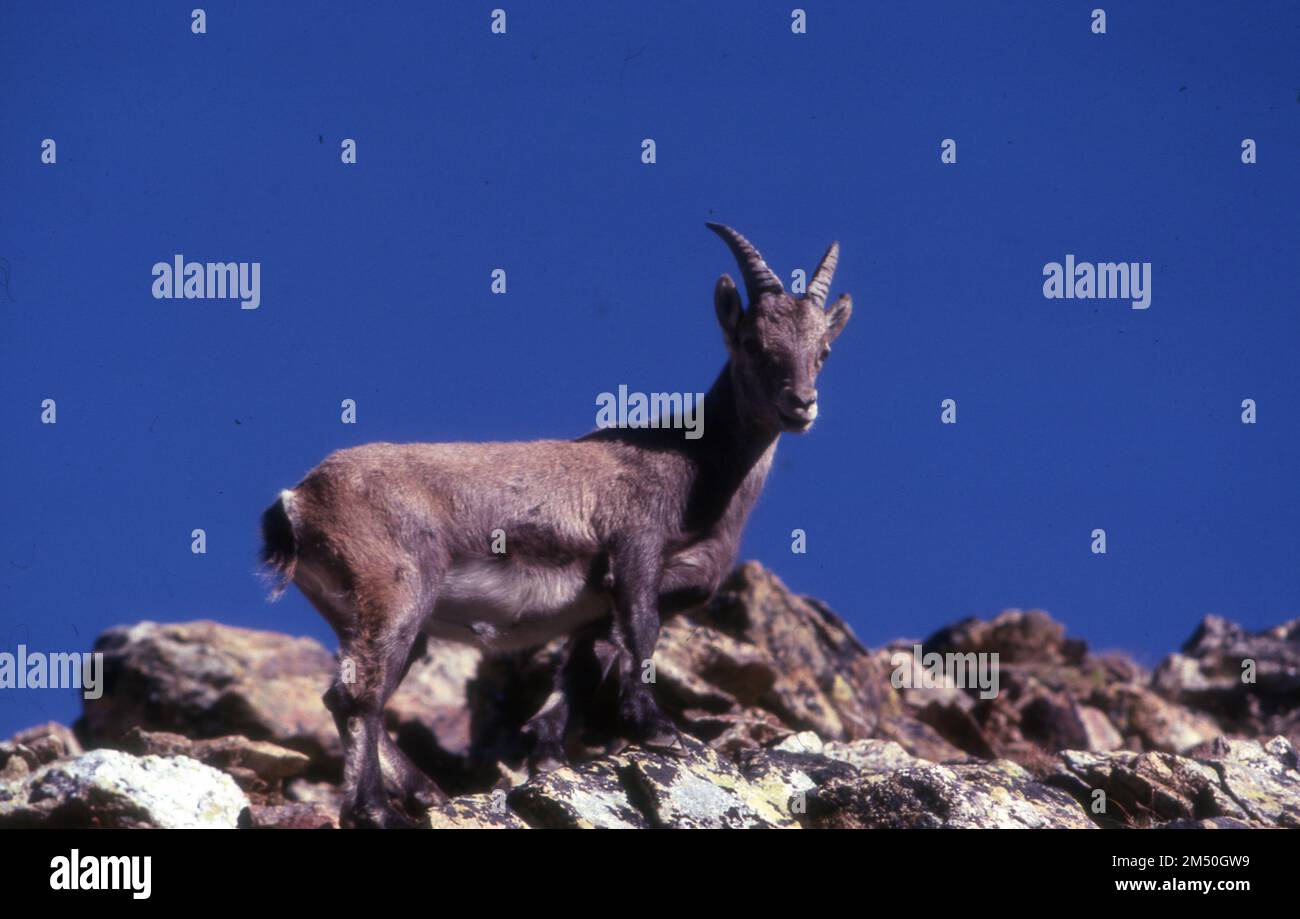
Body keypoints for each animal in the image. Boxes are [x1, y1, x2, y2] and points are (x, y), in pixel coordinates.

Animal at [260, 224, 852, 827]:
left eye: (823, 351)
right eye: (753, 343)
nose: (801, 404)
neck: (694, 467)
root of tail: (297, 502)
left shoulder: (597, 604)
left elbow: (585, 664)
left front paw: (546, 752)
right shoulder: (634, 551)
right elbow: (640, 633)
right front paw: (657, 729)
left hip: (380, 619)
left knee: (358, 697)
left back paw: (426, 792)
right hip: (396, 593)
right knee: (355, 698)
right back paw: (377, 811)